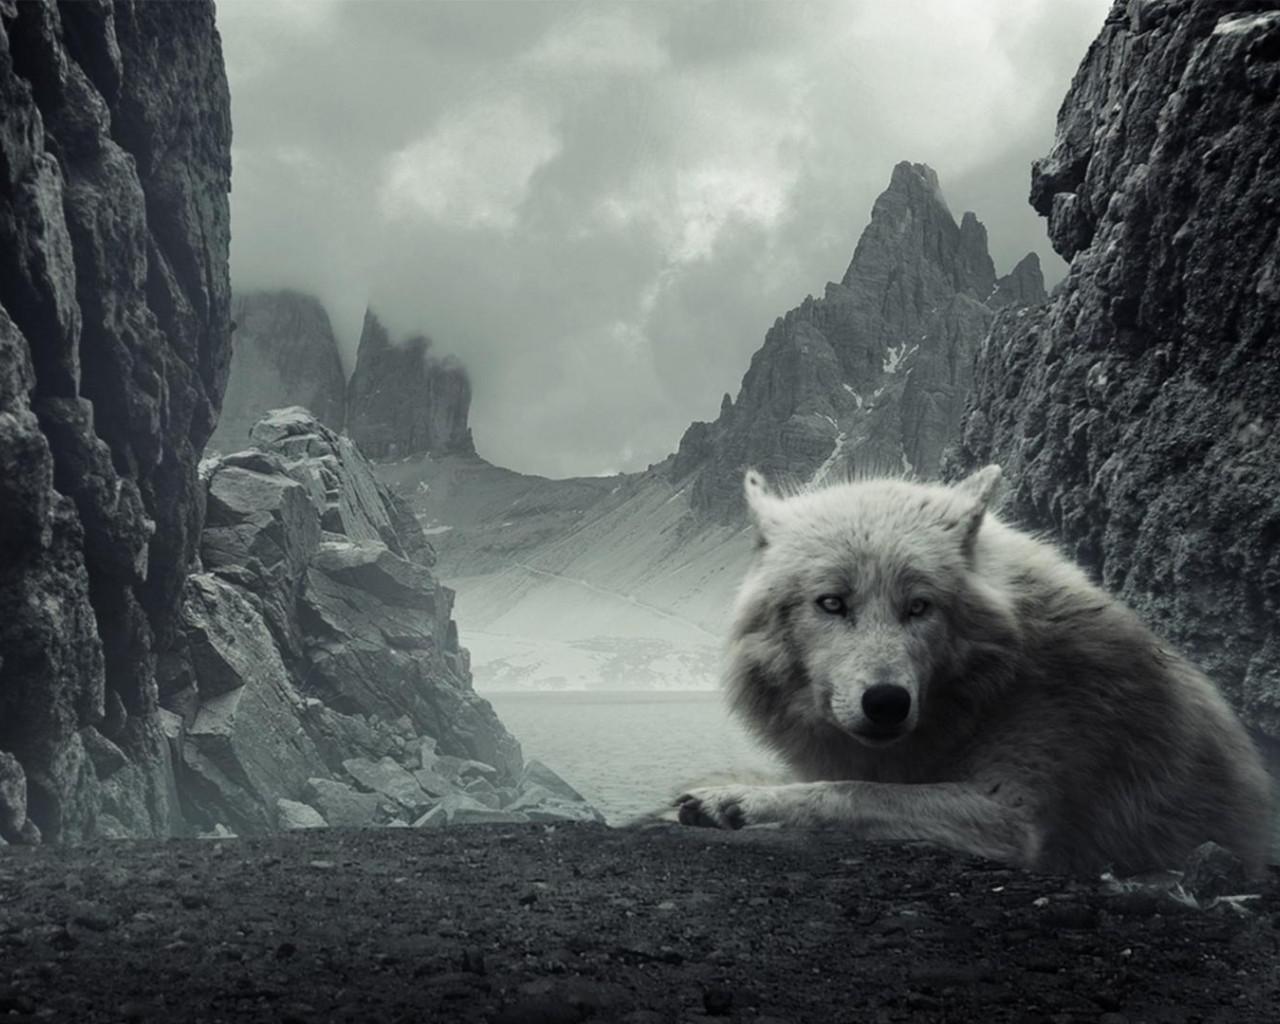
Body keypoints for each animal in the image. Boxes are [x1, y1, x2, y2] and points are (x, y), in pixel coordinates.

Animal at [673, 466, 1273, 877]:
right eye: (832, 603)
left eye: (919, 607)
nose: (886, 702)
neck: (991, 691)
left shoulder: (1012, 816)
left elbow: (849, 792)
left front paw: (735, 801)